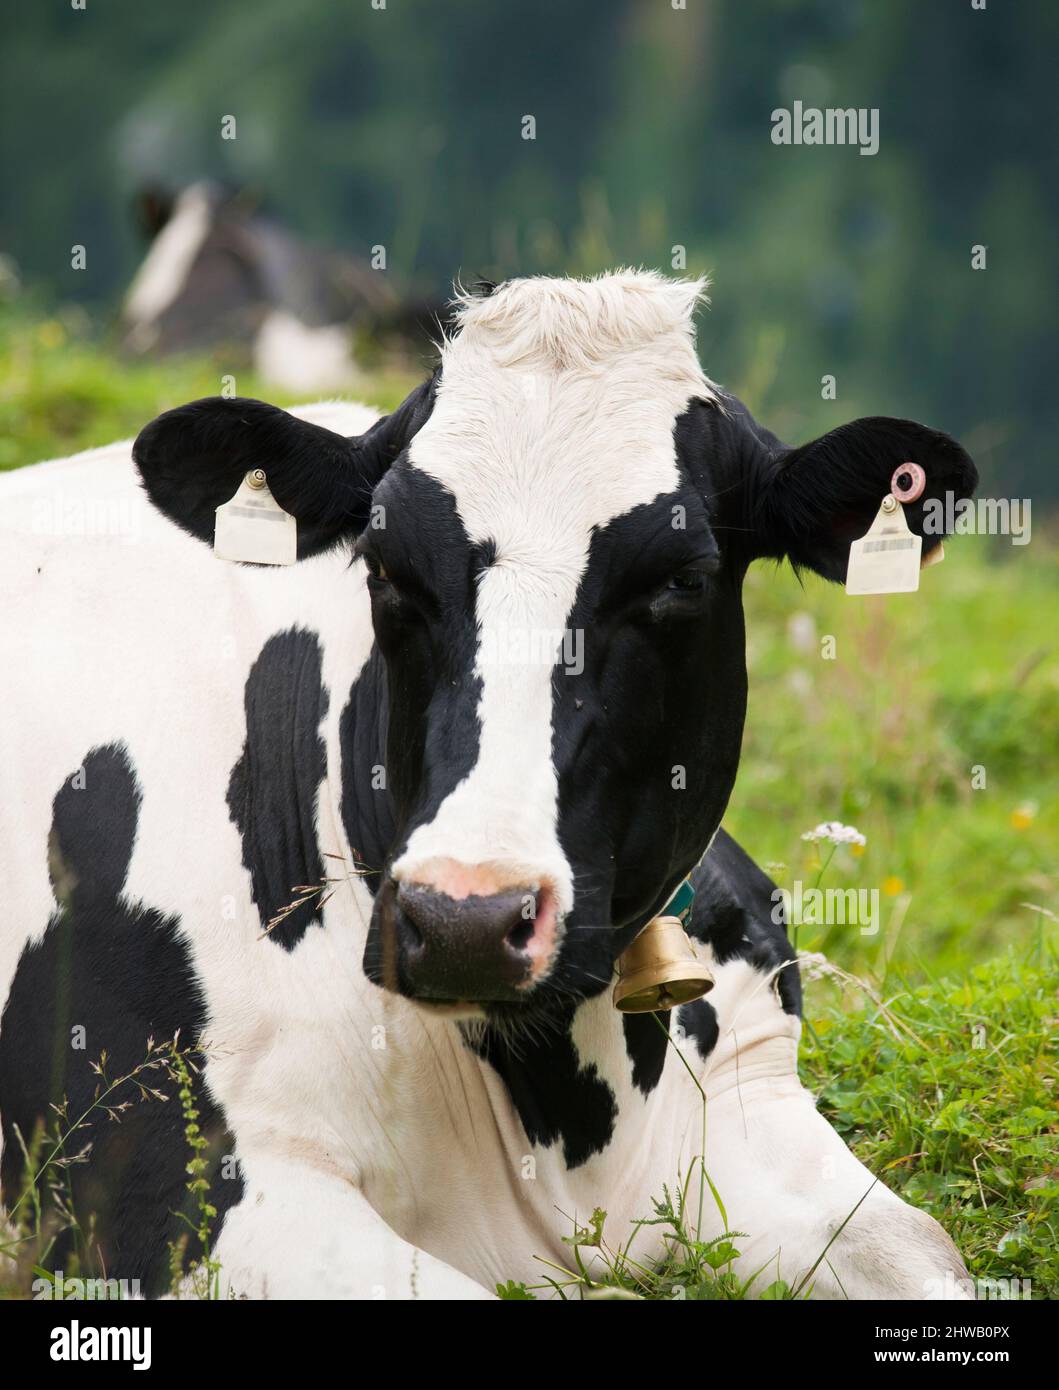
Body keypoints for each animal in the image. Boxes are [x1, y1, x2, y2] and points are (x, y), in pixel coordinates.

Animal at [0, 271, 977, 1300]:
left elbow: (922, 1247)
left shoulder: (758, 1101)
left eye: (681, 578)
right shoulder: (160, 1188)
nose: (465, 921)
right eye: (385, 567)